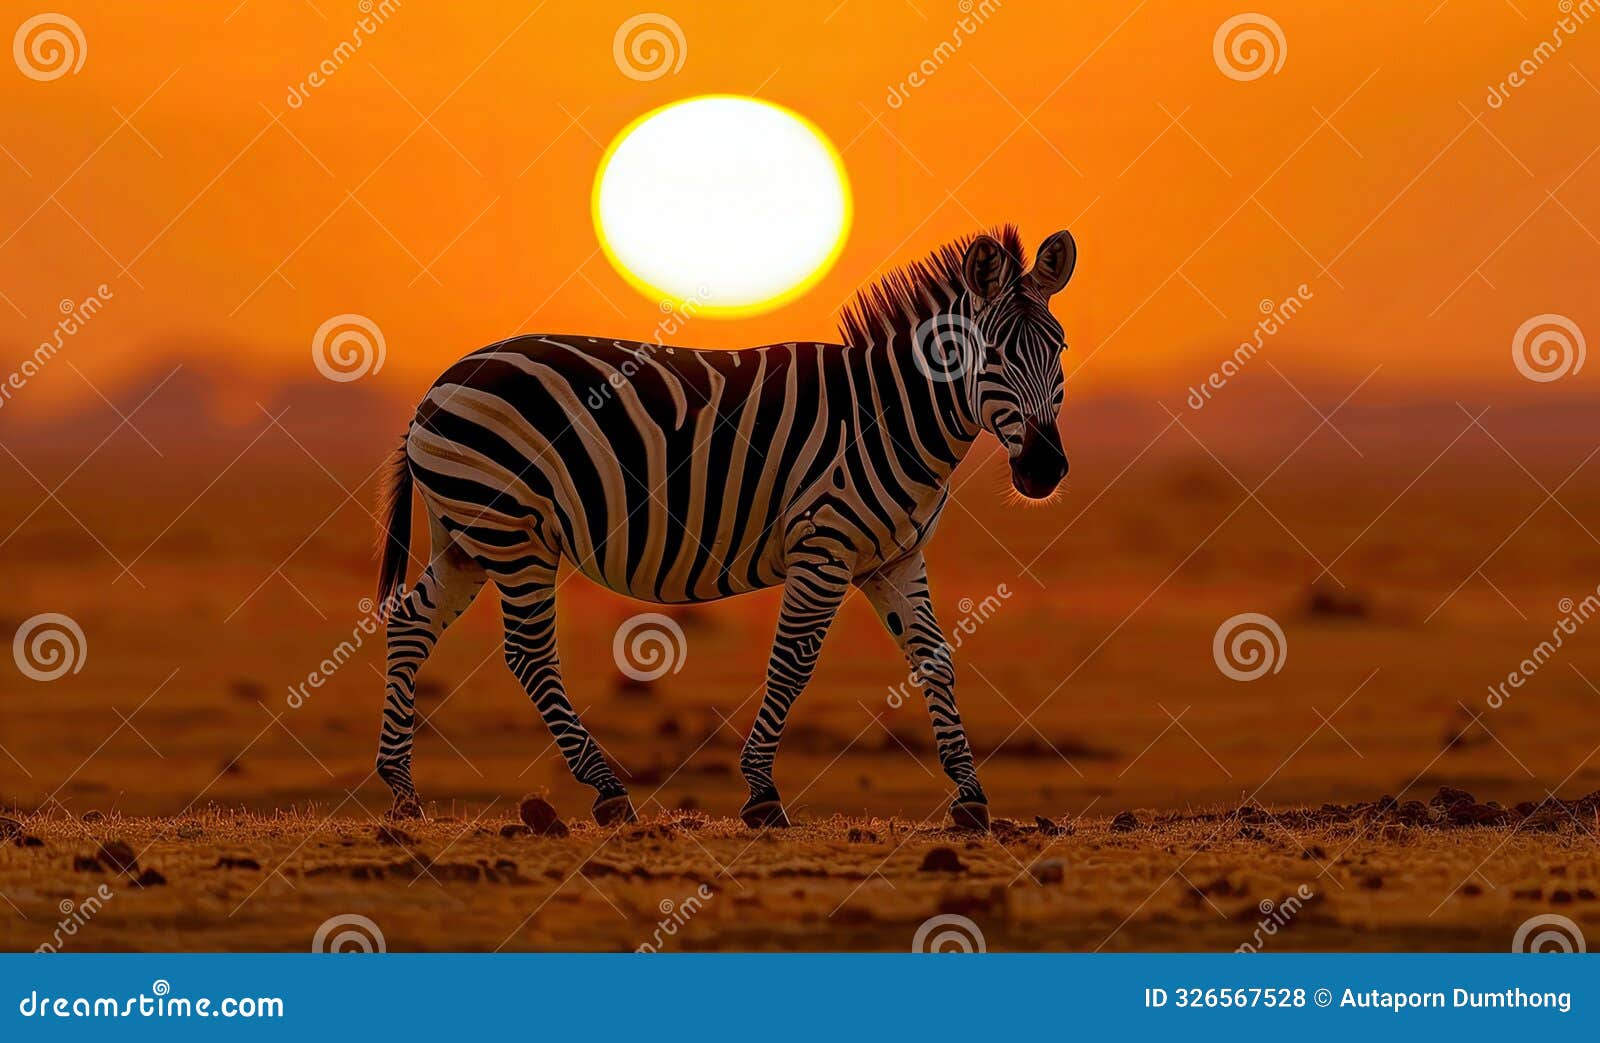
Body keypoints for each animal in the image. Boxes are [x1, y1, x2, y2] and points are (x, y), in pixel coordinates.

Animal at [374, 224, 1075, 831]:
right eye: (994, 355)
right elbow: (792, 663)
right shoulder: (822, 548)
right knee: (529, 654)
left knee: (411, 624)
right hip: (514, 532)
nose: (1044, 469)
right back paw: (606, 790)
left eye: (1060, 350)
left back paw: (402, 790)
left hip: (467, 537)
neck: (889, 418)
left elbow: (934, 658)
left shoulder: (893, 558)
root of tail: (439, 384)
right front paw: (762, 793)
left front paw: (971, 796)